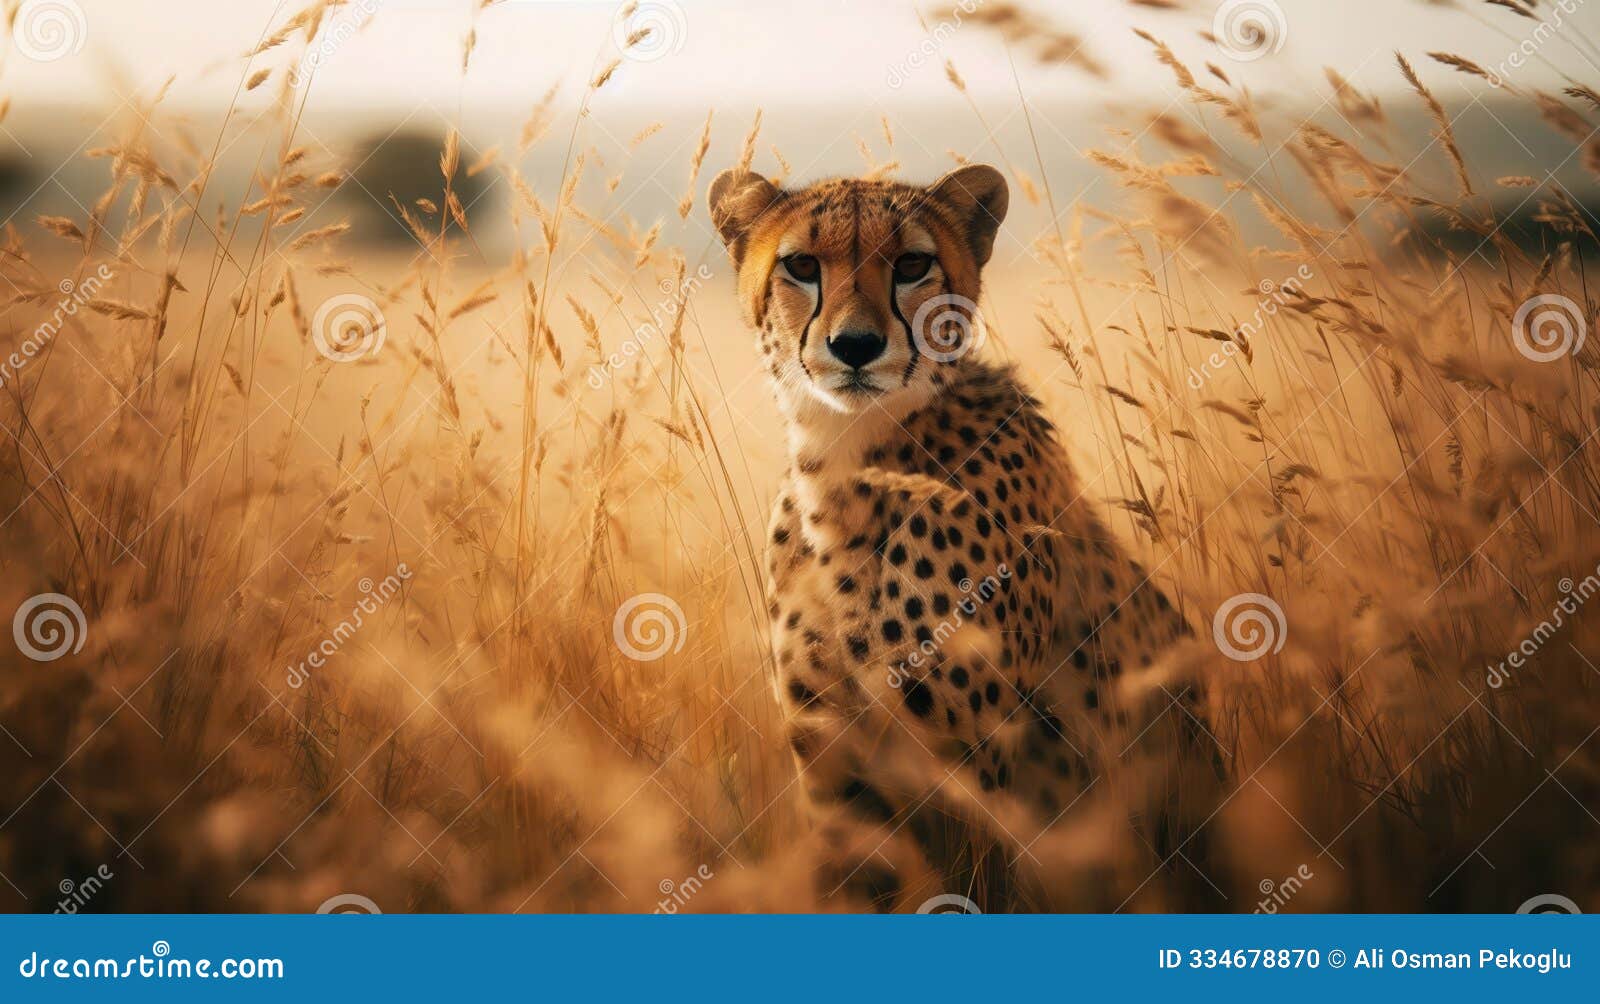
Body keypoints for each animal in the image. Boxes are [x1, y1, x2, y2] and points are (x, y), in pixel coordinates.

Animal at [708, 163, 1223, 912]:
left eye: (912, 265)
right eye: (801, 265)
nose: (855, 346)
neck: (845, 462)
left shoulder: (973, 768)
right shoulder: (836, 782)